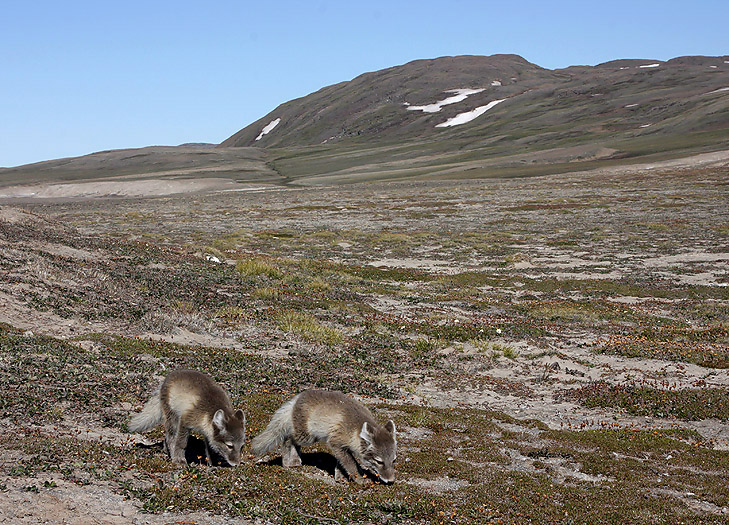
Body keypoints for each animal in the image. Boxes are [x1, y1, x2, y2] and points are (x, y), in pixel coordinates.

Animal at [251, 389, 397, 484]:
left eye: (394, 460)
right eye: (379, 461)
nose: (391, 481)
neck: (354, 428)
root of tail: (296, 398)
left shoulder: (341, 447)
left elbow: (341, 463)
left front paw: (340, 477)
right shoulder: (336, 443)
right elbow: (351, 464)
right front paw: (360, 479)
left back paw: (296, 460)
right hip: (306, 436)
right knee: (287, 439)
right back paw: (288, 462)